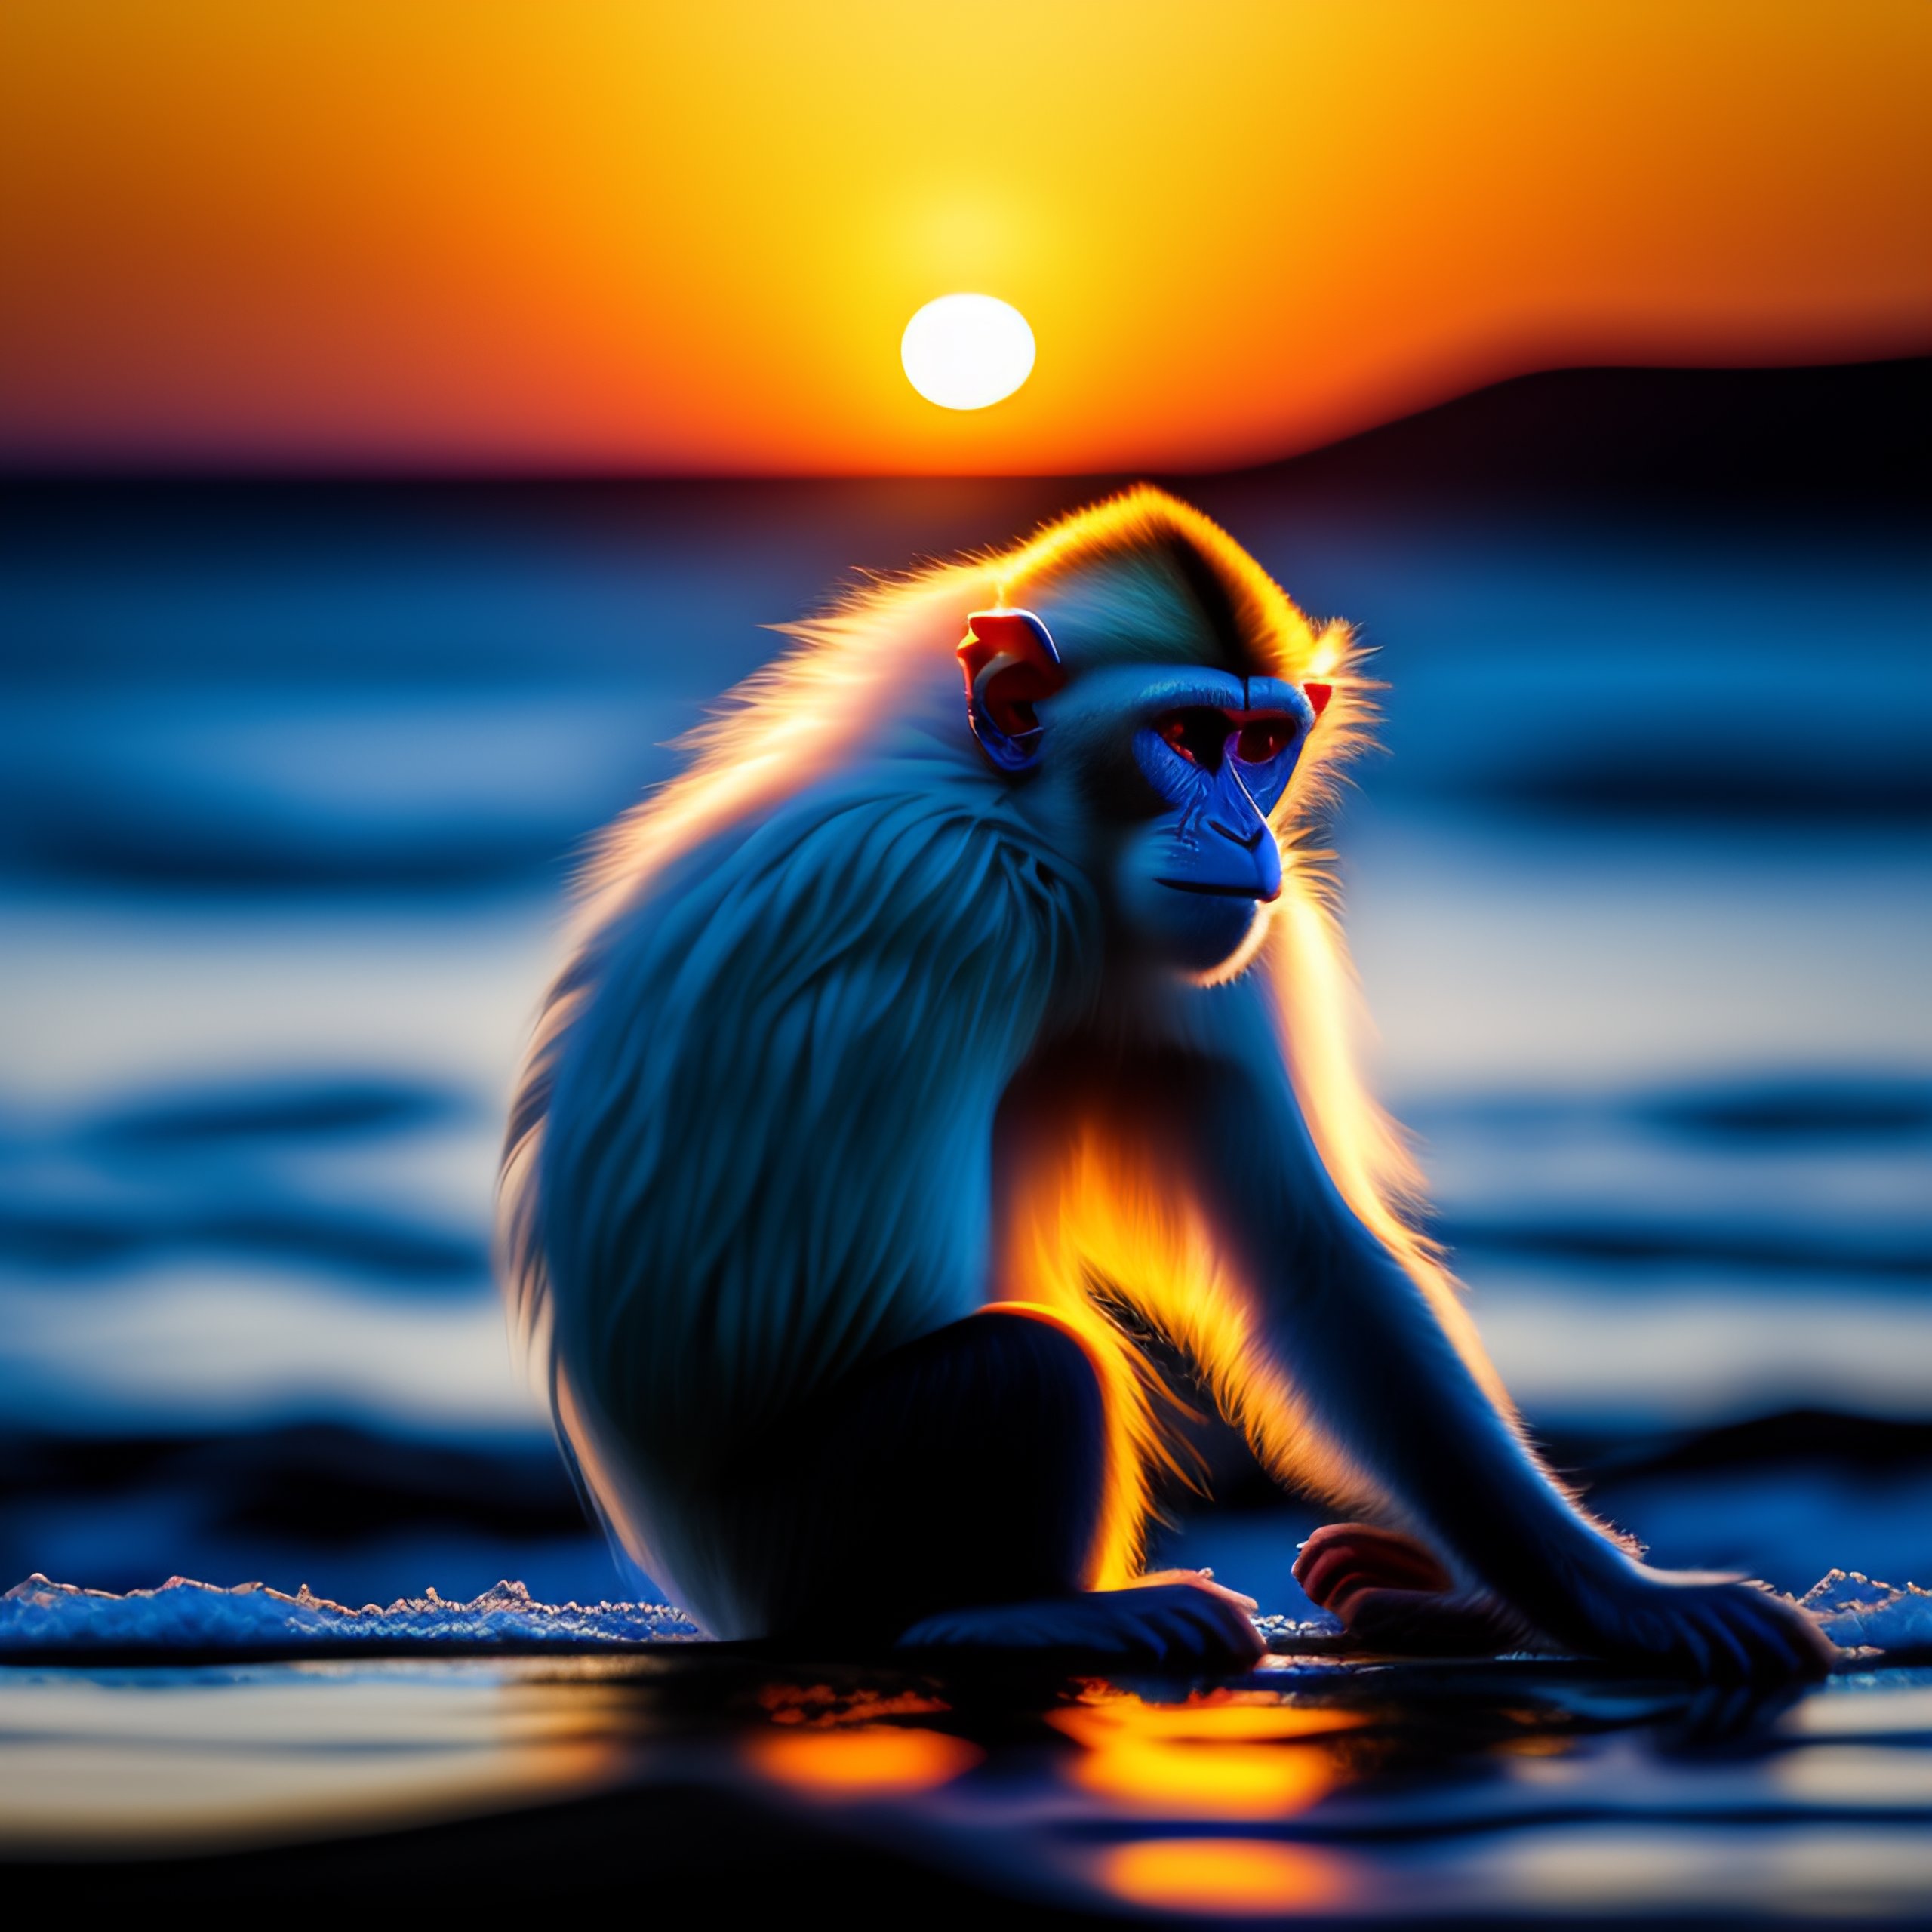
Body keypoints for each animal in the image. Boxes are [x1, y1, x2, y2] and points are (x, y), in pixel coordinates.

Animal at [499, 485, 1831, 1680]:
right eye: (1187, 741)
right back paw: (984, 1617)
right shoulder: (954, 904)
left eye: (1262, 745)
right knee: (1030, 1363)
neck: (1020, 815)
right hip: (801, 1541)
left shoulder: (1225, 946)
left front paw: (1596, 1601)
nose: (1246, 834)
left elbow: (1313, 1269)